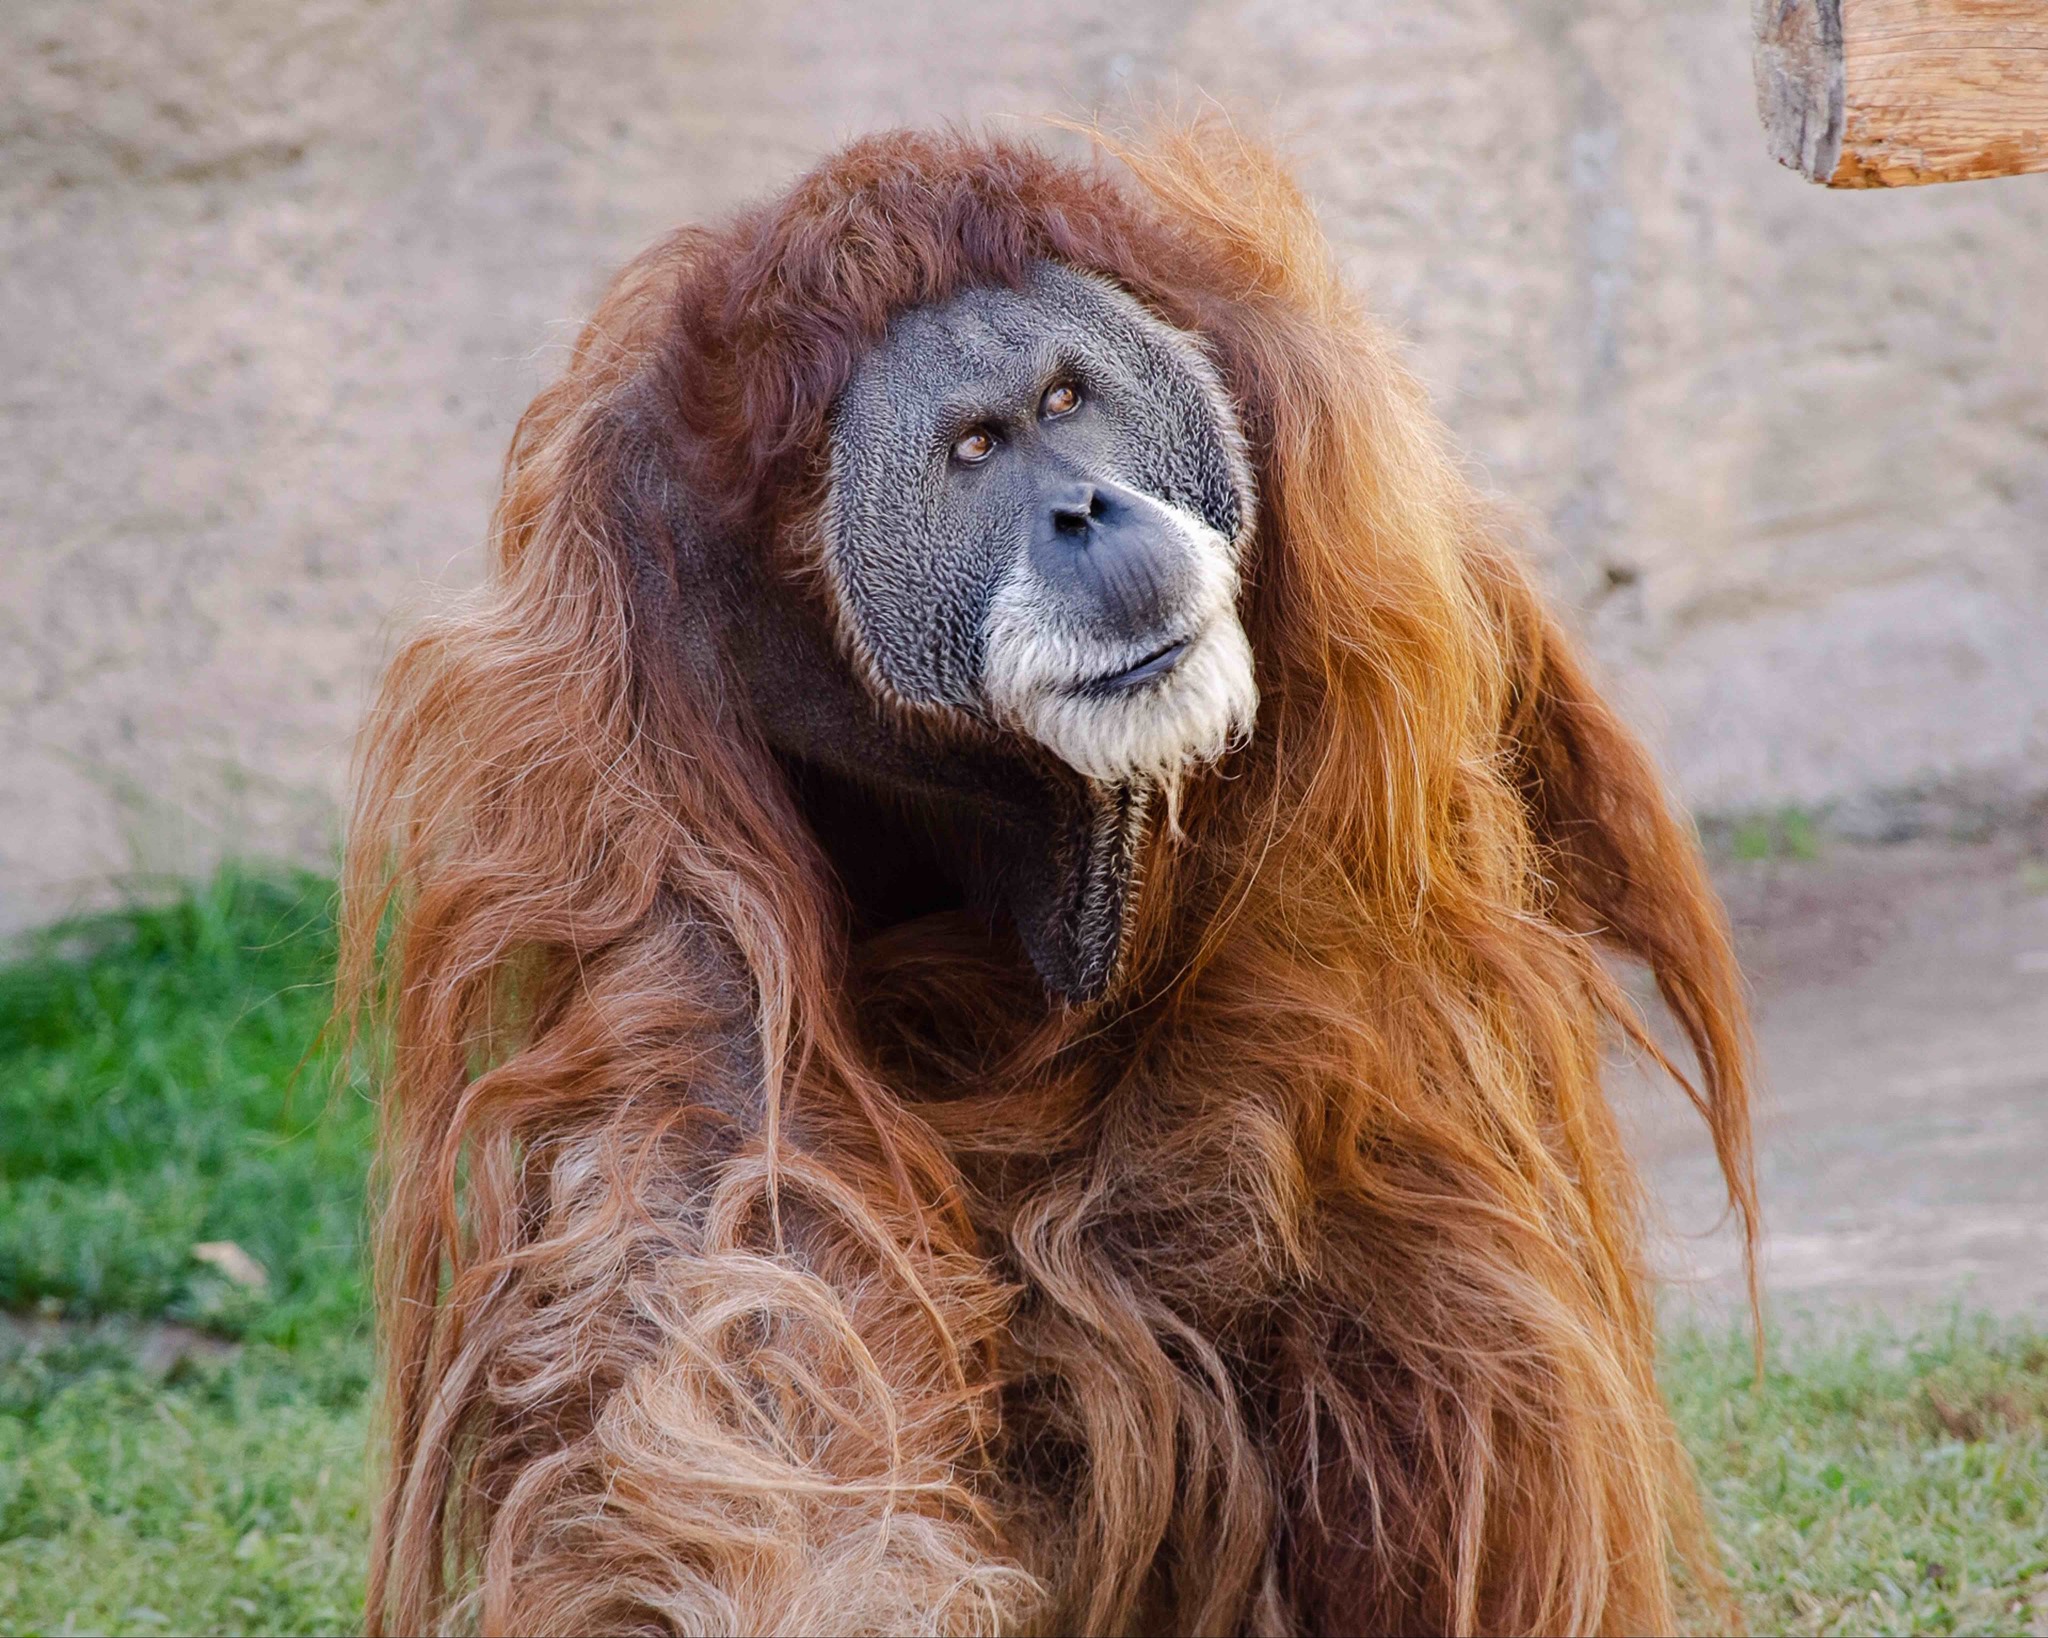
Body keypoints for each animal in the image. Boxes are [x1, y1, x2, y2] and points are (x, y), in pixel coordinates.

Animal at [343, 123, 1758, 1637]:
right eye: (976, 447)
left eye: (1067, 399)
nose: (1086, 507)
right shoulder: (624, 637)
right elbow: (715, 1149)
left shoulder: (1339, 493)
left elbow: (1330, 1052)